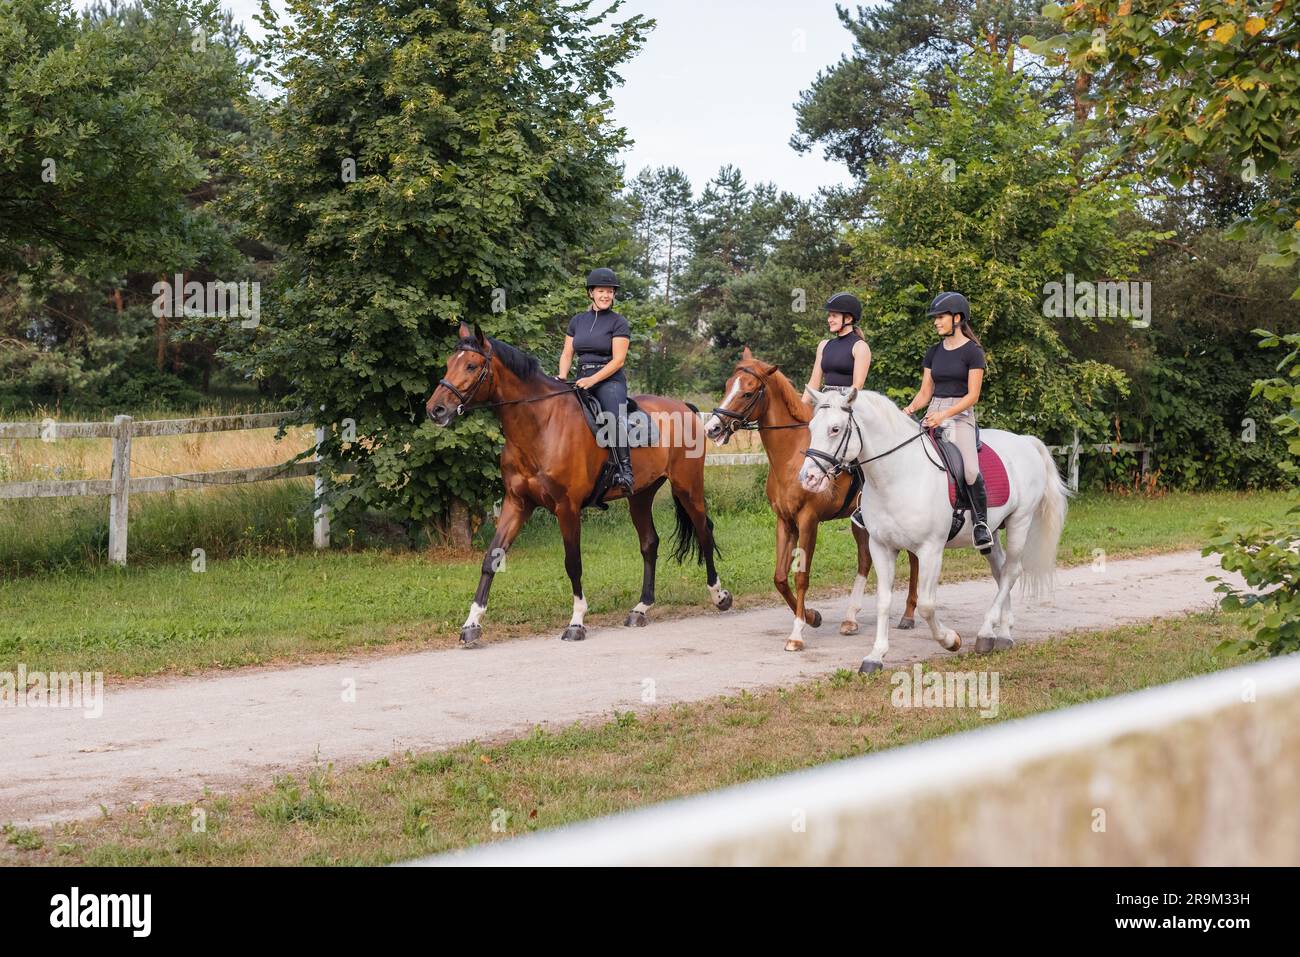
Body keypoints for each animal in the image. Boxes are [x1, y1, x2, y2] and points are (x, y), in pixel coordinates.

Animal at [426, 323, 731, 645]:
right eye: (449, 363)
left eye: (471, 366)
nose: (435, 409)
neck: (541, 425)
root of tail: (684, 407)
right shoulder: (516, 503)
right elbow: (491, 558)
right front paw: (471, 624)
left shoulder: (567, 507)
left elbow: (573, 563)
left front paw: (577, 621)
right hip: (640, 495)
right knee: (650, 543)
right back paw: (641, 608)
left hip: (688, 488)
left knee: (704, 532)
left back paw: (719, 596)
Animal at [703, 348, 919, 652]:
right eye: (726, 386)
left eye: (747, 392)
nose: (712, 428)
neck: (792, 455)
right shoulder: (784, 521)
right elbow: (780, 577)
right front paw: (813, 617)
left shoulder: (808, 521)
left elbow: (801, 576)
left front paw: (797, 633)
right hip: (860, 521)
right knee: (865, 560)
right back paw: (850, 619)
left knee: (913, 558)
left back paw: (909, 615)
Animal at [797, 387, 1069, 673]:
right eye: (812, 427)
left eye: (835, 429)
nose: (807, 479)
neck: (898, 474)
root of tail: (1026, 442)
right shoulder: (881, 547)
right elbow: (884, 601)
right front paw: (875, 656)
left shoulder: (930, 550)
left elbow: (927, 606)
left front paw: (951, 640)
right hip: (992, 531)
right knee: (1000, 569)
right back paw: (1003, 633)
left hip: (1020, 521)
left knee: (1011, 571)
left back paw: (987, 633)